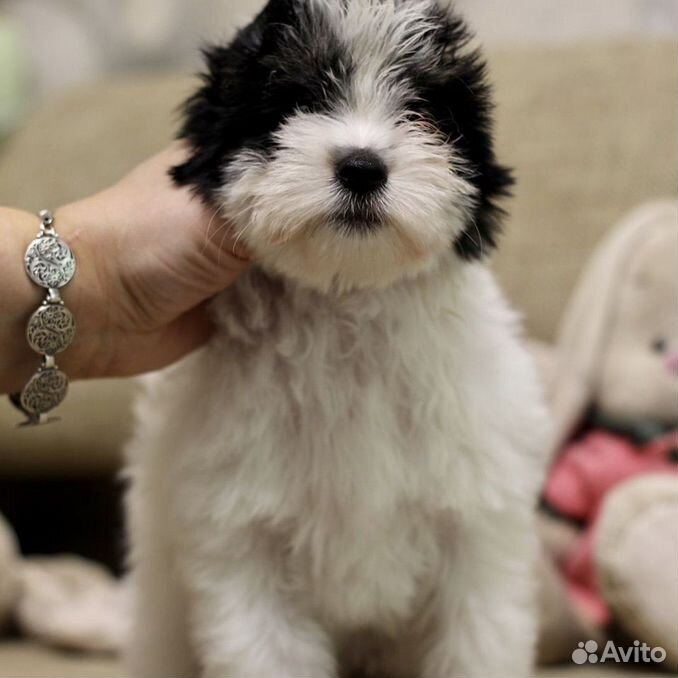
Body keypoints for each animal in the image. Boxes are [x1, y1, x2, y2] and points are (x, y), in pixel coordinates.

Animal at [125, 2, 552, 676]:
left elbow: (476, 634)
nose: (362, 166)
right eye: (296, 100)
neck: (347, 299)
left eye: (421, 110)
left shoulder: (478, 523)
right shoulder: (241, 537)